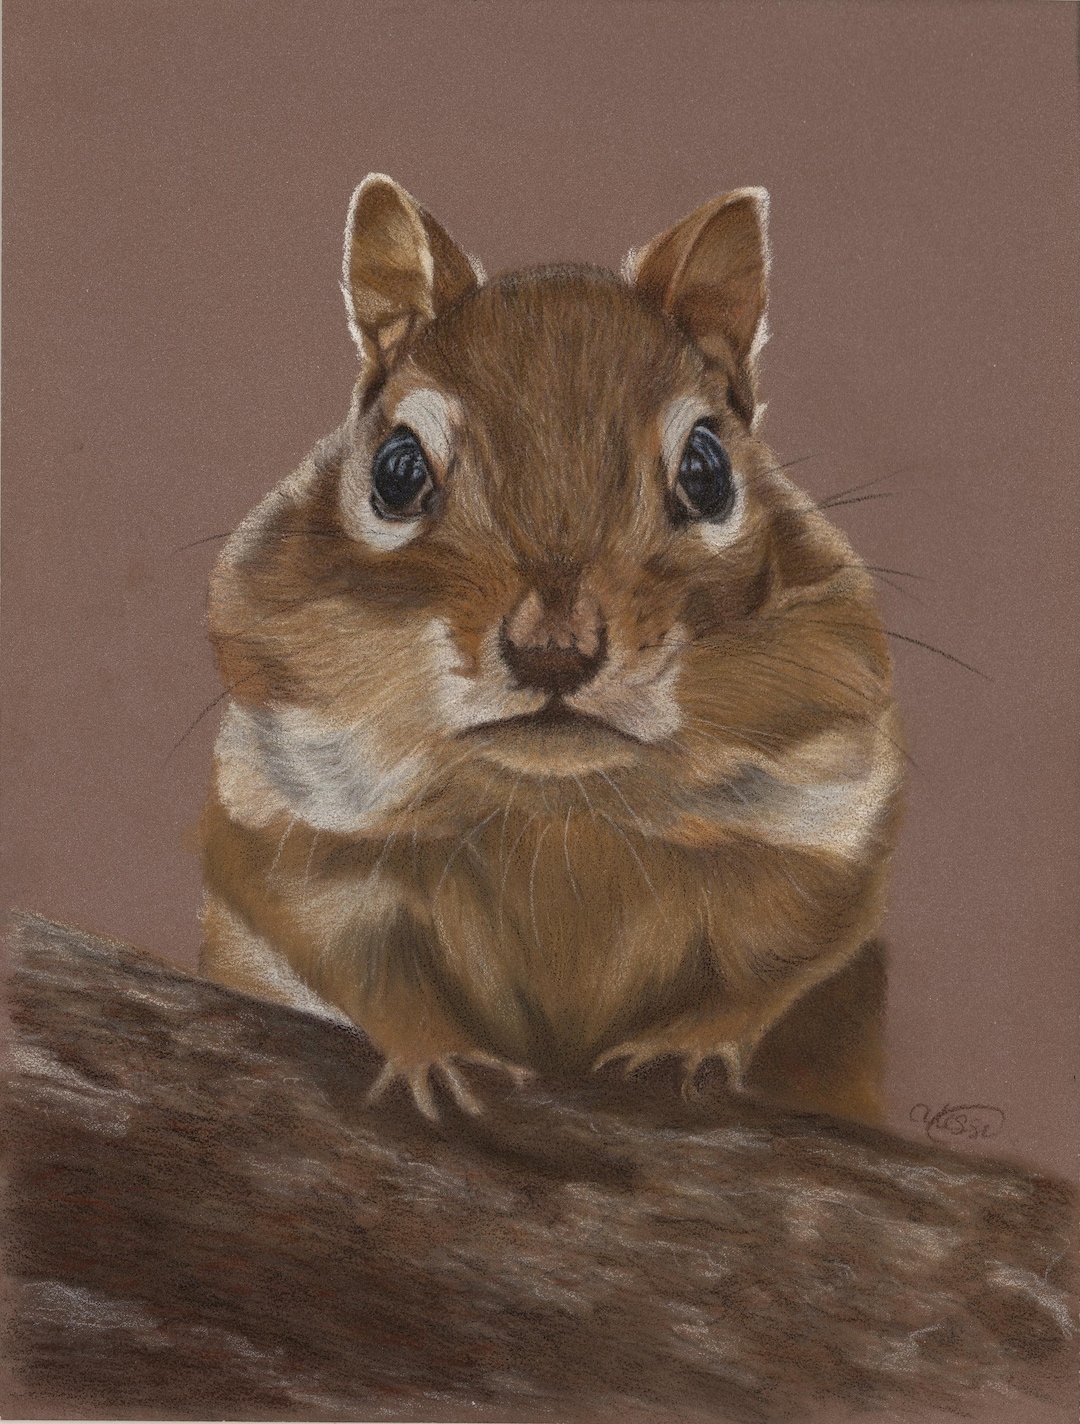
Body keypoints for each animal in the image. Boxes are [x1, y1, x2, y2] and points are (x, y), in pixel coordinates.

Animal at [198, 174, 905, 1124]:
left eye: (709, 470)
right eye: (395, 471)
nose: (554, 653)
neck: (556, 814)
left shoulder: (828, 821)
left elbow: (771, 965)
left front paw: (682, 1048)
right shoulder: (288, 820)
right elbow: (361, 964)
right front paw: (437, 1057)